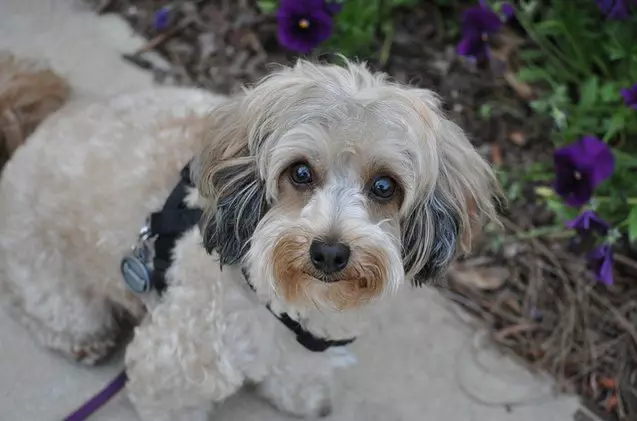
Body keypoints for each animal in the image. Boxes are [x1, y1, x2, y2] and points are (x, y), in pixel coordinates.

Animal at [0, 57, 500, 418]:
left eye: (383, 186)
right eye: (300, 172)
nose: (329, 252)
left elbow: (296, 367)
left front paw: (302, 394)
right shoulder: (170, 367)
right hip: (56, 287)